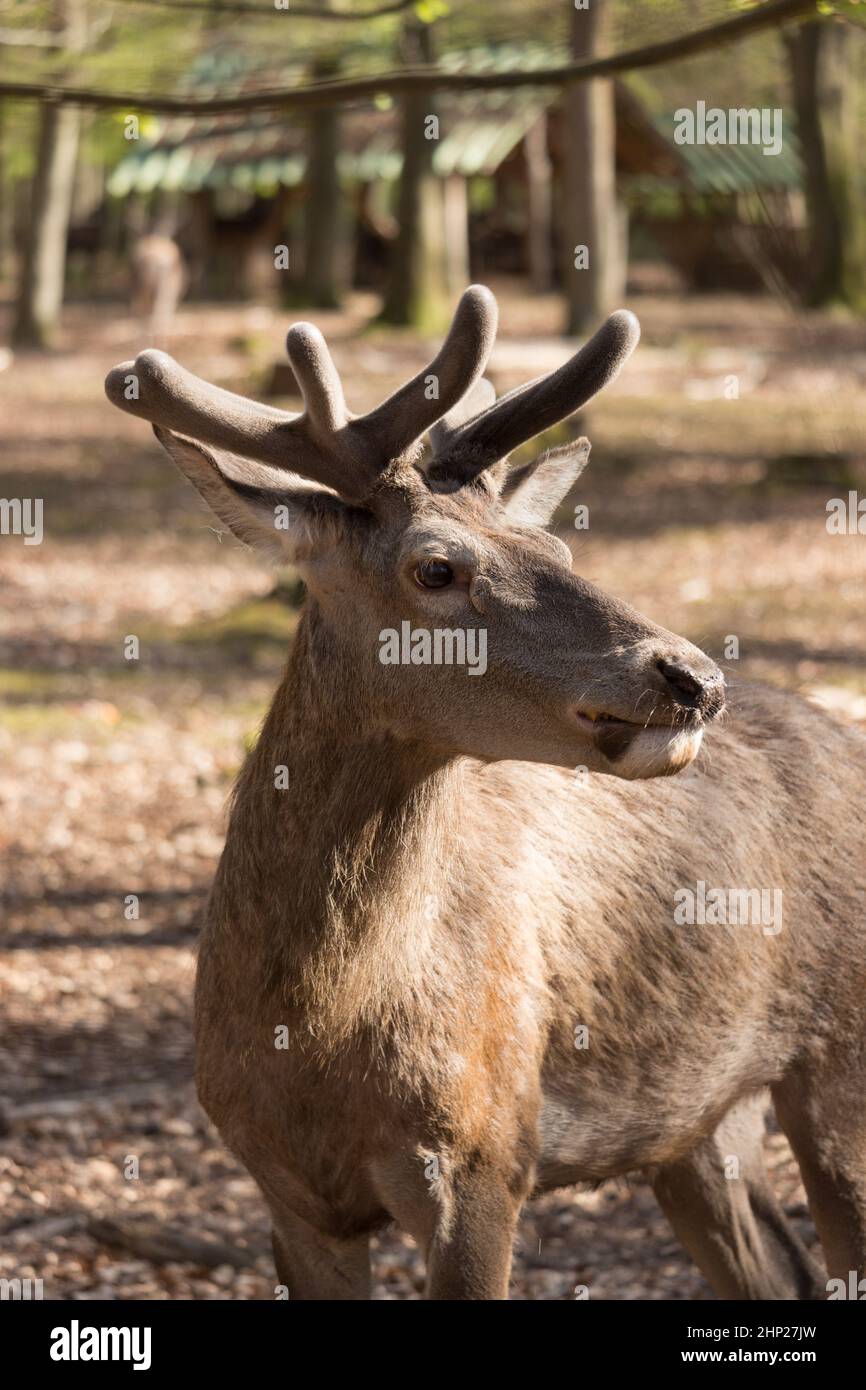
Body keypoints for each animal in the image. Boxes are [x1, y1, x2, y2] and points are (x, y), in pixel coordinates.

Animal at [105, 286, 866, 1301]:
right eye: (437, 566)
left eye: (554, 544)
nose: (693, 677)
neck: (311, 1033)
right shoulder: (287, 1192)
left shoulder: (489, 1153)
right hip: (695, 1122)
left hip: (841, 1058)